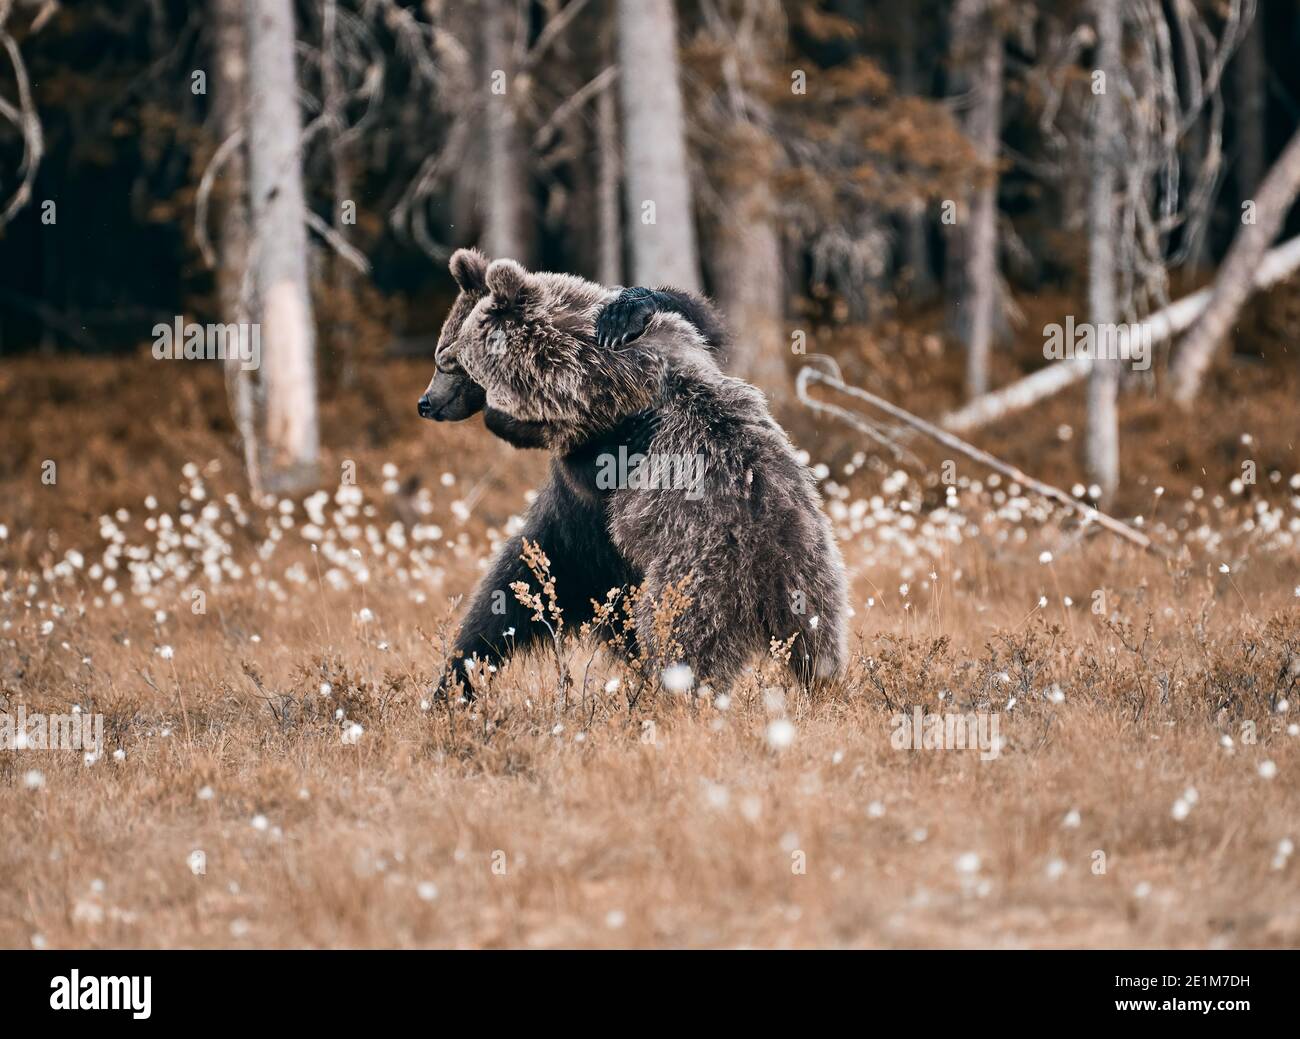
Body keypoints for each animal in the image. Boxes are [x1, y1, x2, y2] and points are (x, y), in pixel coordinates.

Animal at [437, 256, 849, 695]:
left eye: (452, 359)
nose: (426, 401)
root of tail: (768, 576)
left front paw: (627, 310)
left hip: (696, 581)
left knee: (683, 643)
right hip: (810, 579)